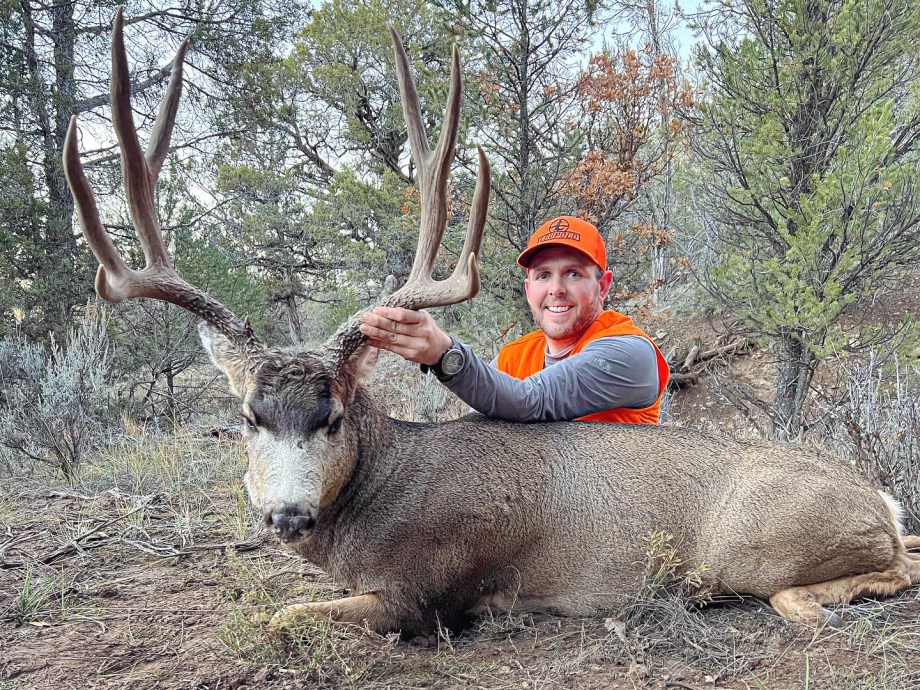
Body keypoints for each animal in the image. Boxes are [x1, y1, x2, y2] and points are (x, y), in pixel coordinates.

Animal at [64, 8, 920, 638]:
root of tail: (880, 497)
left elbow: (284, 617)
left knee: (874, 573)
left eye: (331, 415)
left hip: (754, 546)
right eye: (249, 417)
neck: (379, 500)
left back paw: (793, 602)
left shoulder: (425, 591)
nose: (286, 513)